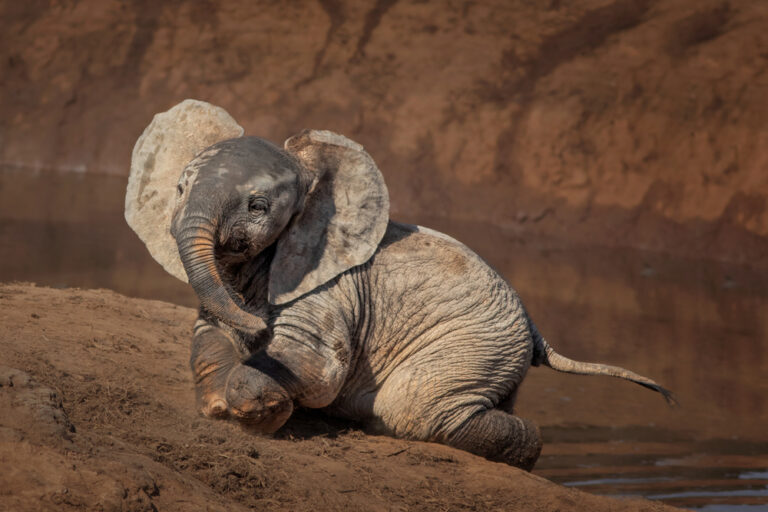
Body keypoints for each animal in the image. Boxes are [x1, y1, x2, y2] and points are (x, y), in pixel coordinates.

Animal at [125, 100, 674, 471]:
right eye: (179, 189)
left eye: (258, 207)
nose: (259, 323)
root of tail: (535, 329)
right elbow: (208, 337)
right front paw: (219, 401)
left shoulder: (333, 290)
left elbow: (316, 367)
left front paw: (261, 407)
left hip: (475, 344)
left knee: (413, 410)